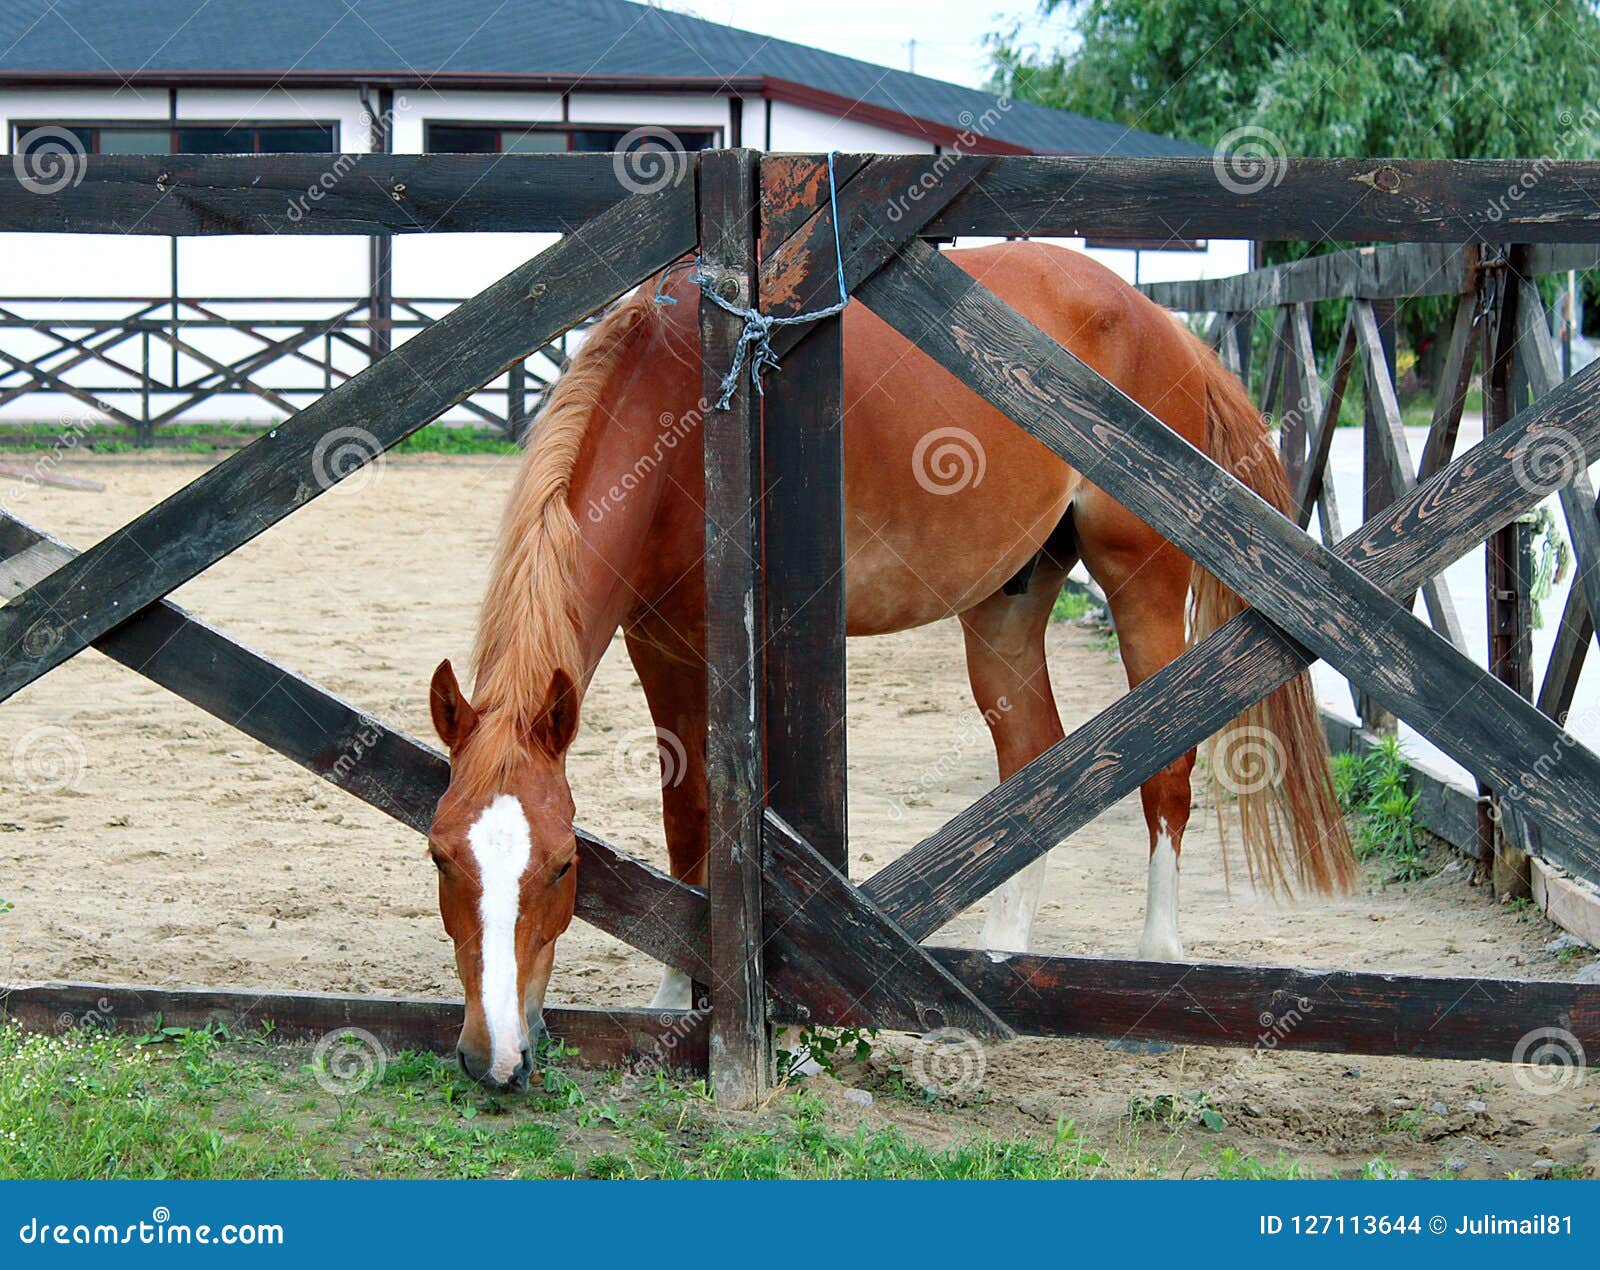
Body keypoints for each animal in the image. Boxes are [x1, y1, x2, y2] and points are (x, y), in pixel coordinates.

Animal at [425, 240, 1356, 1090]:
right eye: (439, 856)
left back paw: (1157, 964)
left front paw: (781, 1028)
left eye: (561, 865)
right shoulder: (656, 642)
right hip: (1010, 600)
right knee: (1033, 759)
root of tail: (1167, 328)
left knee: (1167, 770)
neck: (680, 413)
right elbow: (687, 819)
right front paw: (669, 1004)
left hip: (1145, 582)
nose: (493, 1056)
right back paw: (999, 969)